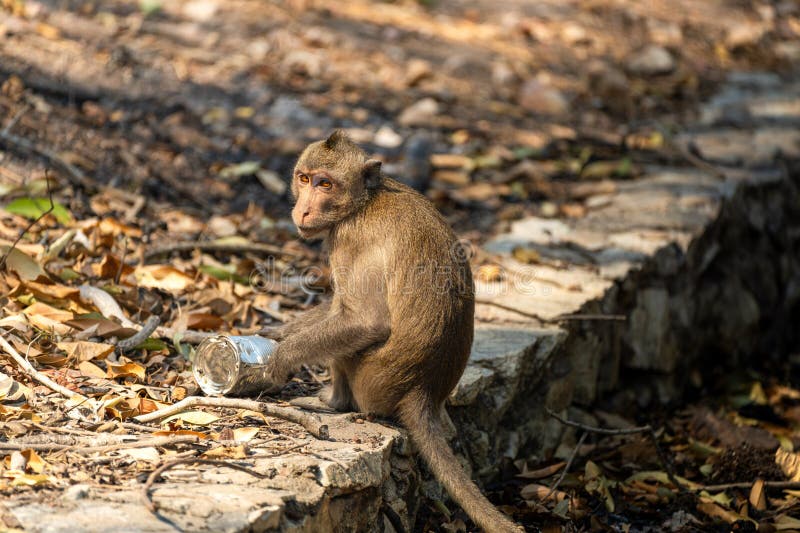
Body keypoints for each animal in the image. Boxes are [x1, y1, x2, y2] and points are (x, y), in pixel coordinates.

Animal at [264, 131, 521, 533]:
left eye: (326, 184)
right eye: (304, 179)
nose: (303, 210)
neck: (363, 202)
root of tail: (423, 392)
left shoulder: (350, 239)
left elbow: (365, 321)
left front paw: (280, 359)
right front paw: (275, 332)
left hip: (372, 379)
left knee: (350, 346)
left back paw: (333, 403)